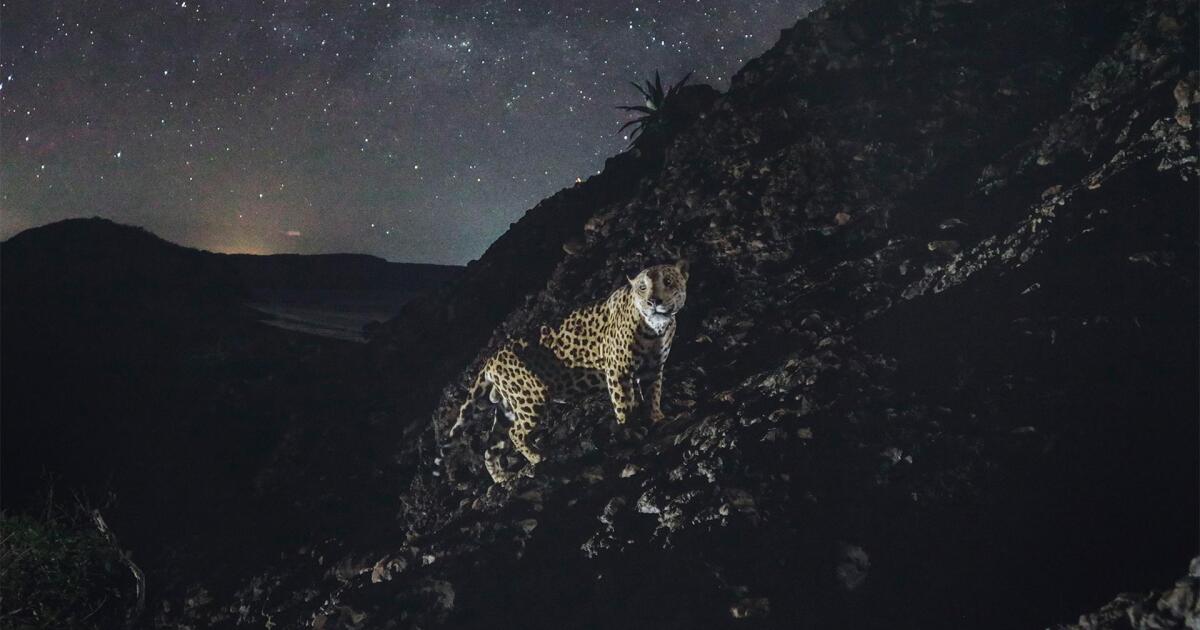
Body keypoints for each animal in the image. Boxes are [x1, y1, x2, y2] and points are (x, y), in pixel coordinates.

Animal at [447, 261, 689, 483]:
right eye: (642, 287)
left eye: (668, 281)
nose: (653, 301)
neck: (656, 330)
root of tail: (490, 360)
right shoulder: (617, 371)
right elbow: (624, 405)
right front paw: (630, 430)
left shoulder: (653, 370)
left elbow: (653, 396)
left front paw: (658, 419)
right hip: (531, 398)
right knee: (515, 433)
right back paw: (537, 457)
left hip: (508, 406)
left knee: (491, 446)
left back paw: (501, 477)